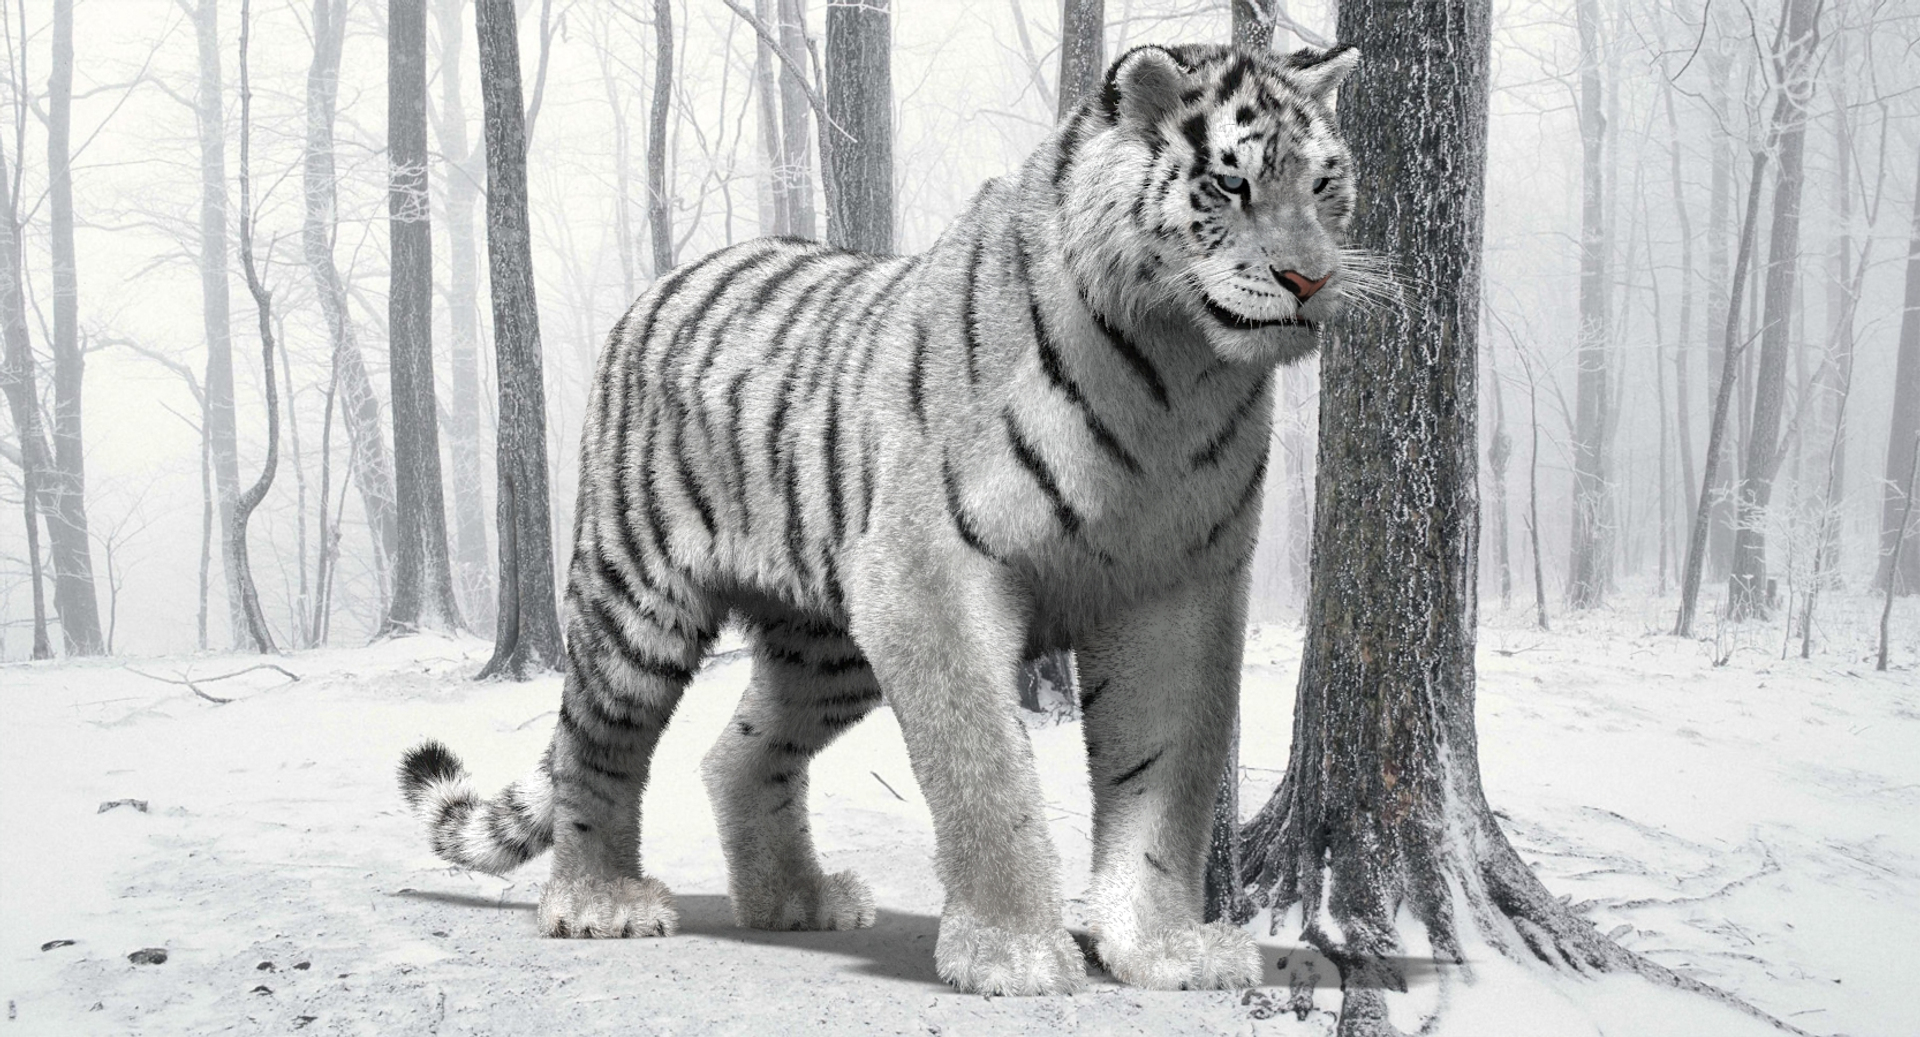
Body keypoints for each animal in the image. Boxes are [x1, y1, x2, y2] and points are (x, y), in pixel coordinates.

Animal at [400, 41, 1366, 995]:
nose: (1310, 278)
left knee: (740, 754)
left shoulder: (1178, 584)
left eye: (1324, 185)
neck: (1176, 373)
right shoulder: (929, 578)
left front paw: (1161, 948)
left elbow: (1165, 777)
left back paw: (795, 902)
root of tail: (665, 281)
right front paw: (1013, 952)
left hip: (828, 646)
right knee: (594, 747)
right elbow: (985, 770)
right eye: (1231, 184)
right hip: (637, 596)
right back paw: (599, 902)